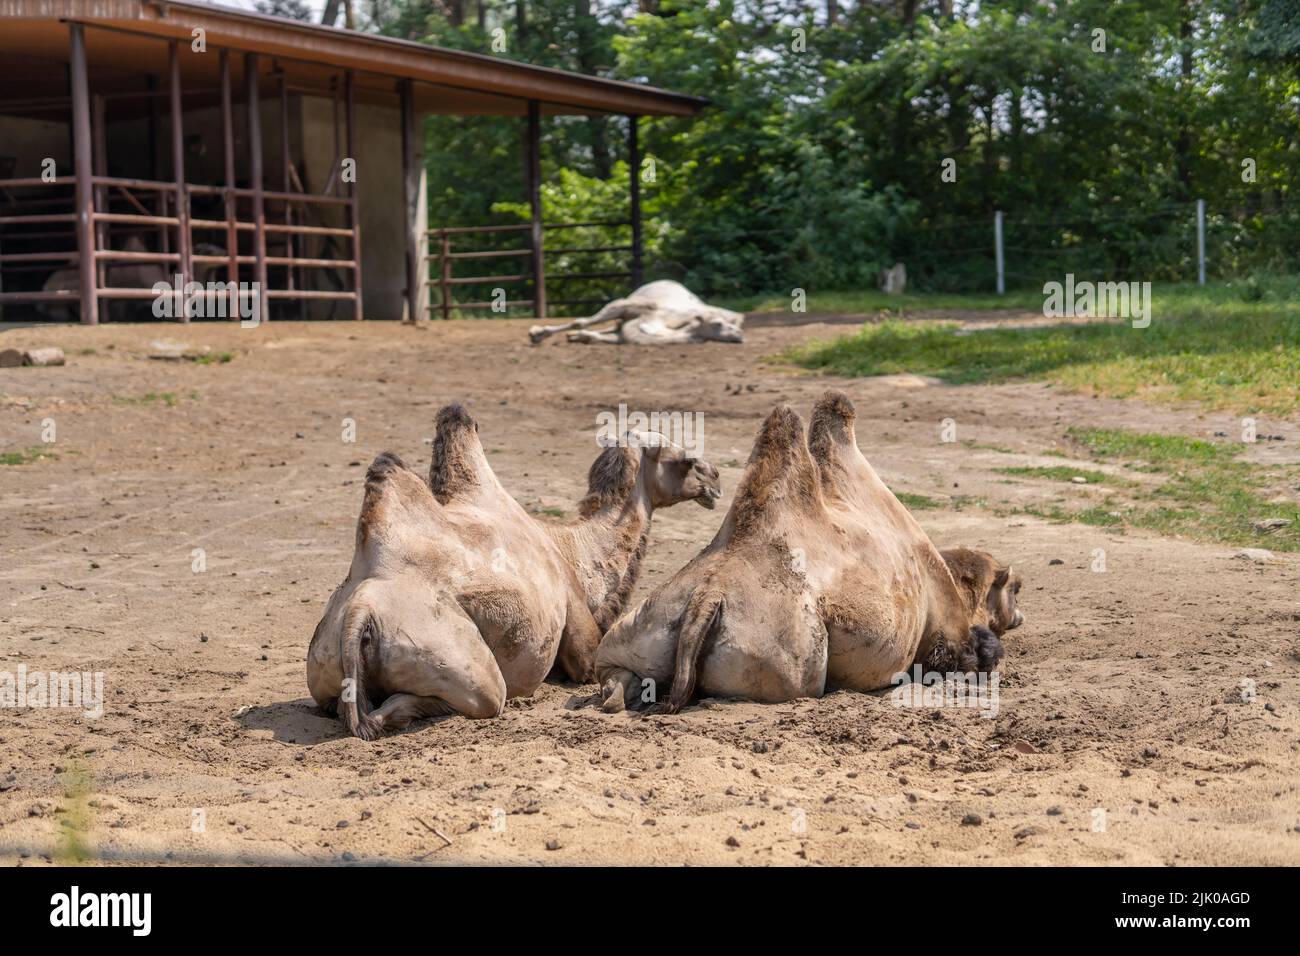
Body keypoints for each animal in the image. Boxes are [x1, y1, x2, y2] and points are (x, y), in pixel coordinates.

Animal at [306, 403, 721, 740]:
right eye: (682, 459)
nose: (715, 477)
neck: (573, 550)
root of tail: (360, 609)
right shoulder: (580, 635)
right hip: (460, 665)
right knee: (471, 699)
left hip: (324, 666)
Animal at [528, 280, 745, 345]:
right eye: (717, 324)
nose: (739, 334)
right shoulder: (625, 306)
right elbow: (581, 321)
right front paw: (536, 333)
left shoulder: (622, 334)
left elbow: (599, 336)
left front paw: (578, 337)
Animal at [595, 391, 1024, 714]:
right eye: (1015, 588)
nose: (1019, 615)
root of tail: (706, 597)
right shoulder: (945, 632)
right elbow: (972, 654)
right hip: (788, 668)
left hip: (631, 634)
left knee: (617, 680)